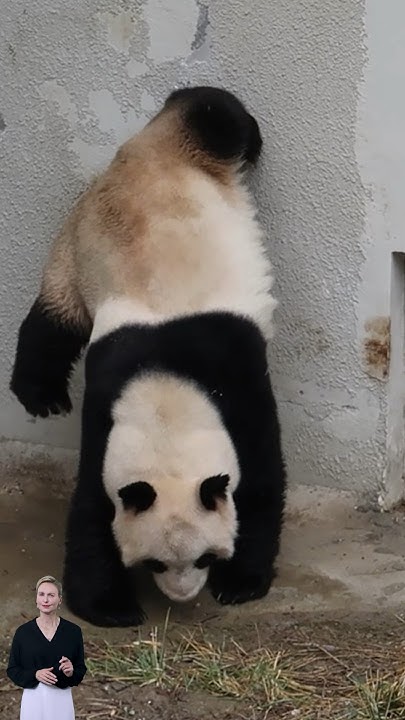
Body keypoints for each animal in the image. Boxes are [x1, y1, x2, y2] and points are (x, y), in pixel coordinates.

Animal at [10, 86, 286, 627]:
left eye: (204, 558)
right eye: (157, 562)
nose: (182, 596)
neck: (167, 392)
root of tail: (146, 144)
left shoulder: (238, 379)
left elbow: (261, 482)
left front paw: (240, 582)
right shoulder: (106, 408)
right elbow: (93, 504)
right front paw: (110, 605)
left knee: (214, 113)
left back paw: (250, 141)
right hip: (74, 251)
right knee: (53, 323)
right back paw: (41, 395)